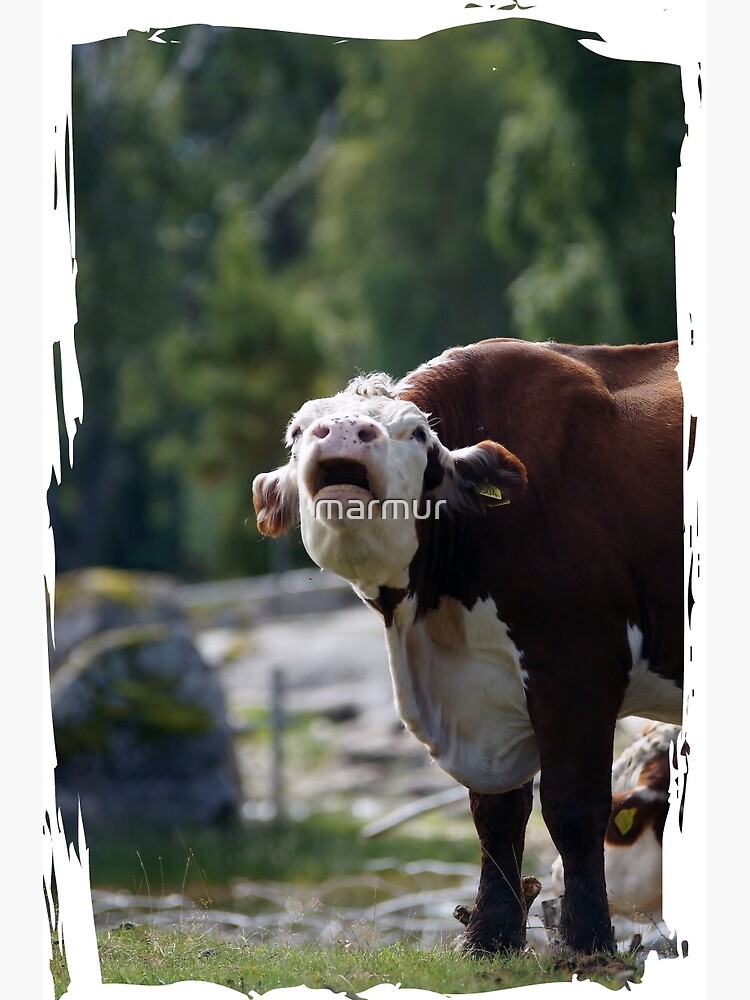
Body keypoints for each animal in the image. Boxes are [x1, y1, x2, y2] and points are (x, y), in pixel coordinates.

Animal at [252, 337, 683, 955]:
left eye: (416, 433)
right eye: (298, 430)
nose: (345, 432)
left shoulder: (578, 666)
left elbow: (573, 807)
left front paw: (585, 941)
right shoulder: (487, 688)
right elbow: (496, 813)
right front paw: (490, 936)